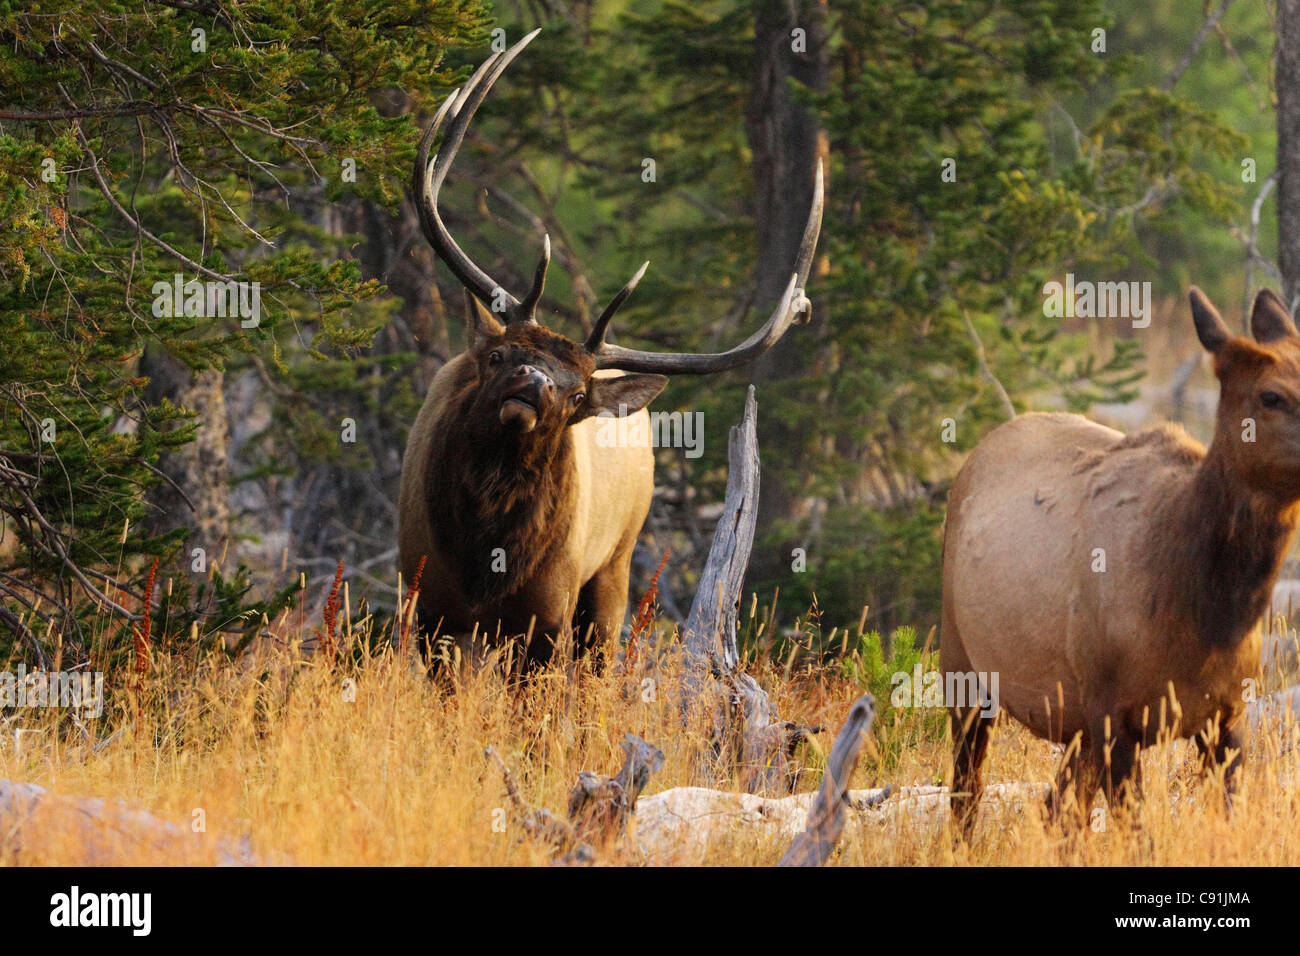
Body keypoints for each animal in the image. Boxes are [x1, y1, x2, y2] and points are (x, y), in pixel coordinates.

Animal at [397, 30, 823, 669]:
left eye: (576, 395)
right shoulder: (426, 601)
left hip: (617, 564)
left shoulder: (548, 614)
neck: (483, 560)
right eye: (498, 356)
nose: (534, 383)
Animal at [940, 286, 1300, 836]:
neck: (1209, 613)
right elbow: (1138, 837)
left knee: (1056, 810)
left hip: (1075, 722)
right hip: (961, 666)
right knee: (967, 793)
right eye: (1271, 396)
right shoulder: (1114, 717)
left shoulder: (1227, 714)